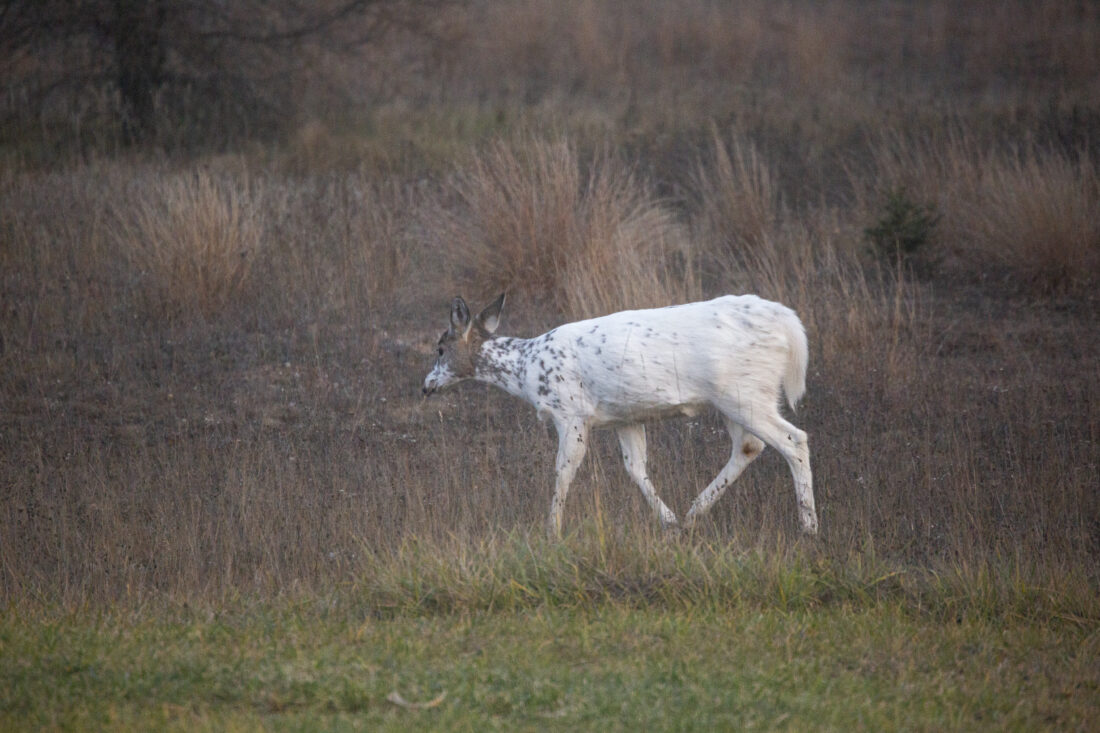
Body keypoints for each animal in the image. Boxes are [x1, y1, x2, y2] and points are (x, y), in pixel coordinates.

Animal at [422, 293, 817, 539]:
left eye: (440, 348)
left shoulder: (571, 411)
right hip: (736, 397)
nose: (426, 386)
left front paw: (551, 530)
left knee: (794, 439)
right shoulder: (625, 417)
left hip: (744, 392)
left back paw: (809, 527)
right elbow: (635, 467)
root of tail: (790, 326)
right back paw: (693, 513)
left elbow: (563, 471)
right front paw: (669, 521)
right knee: (749, 445)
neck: (527, 369)